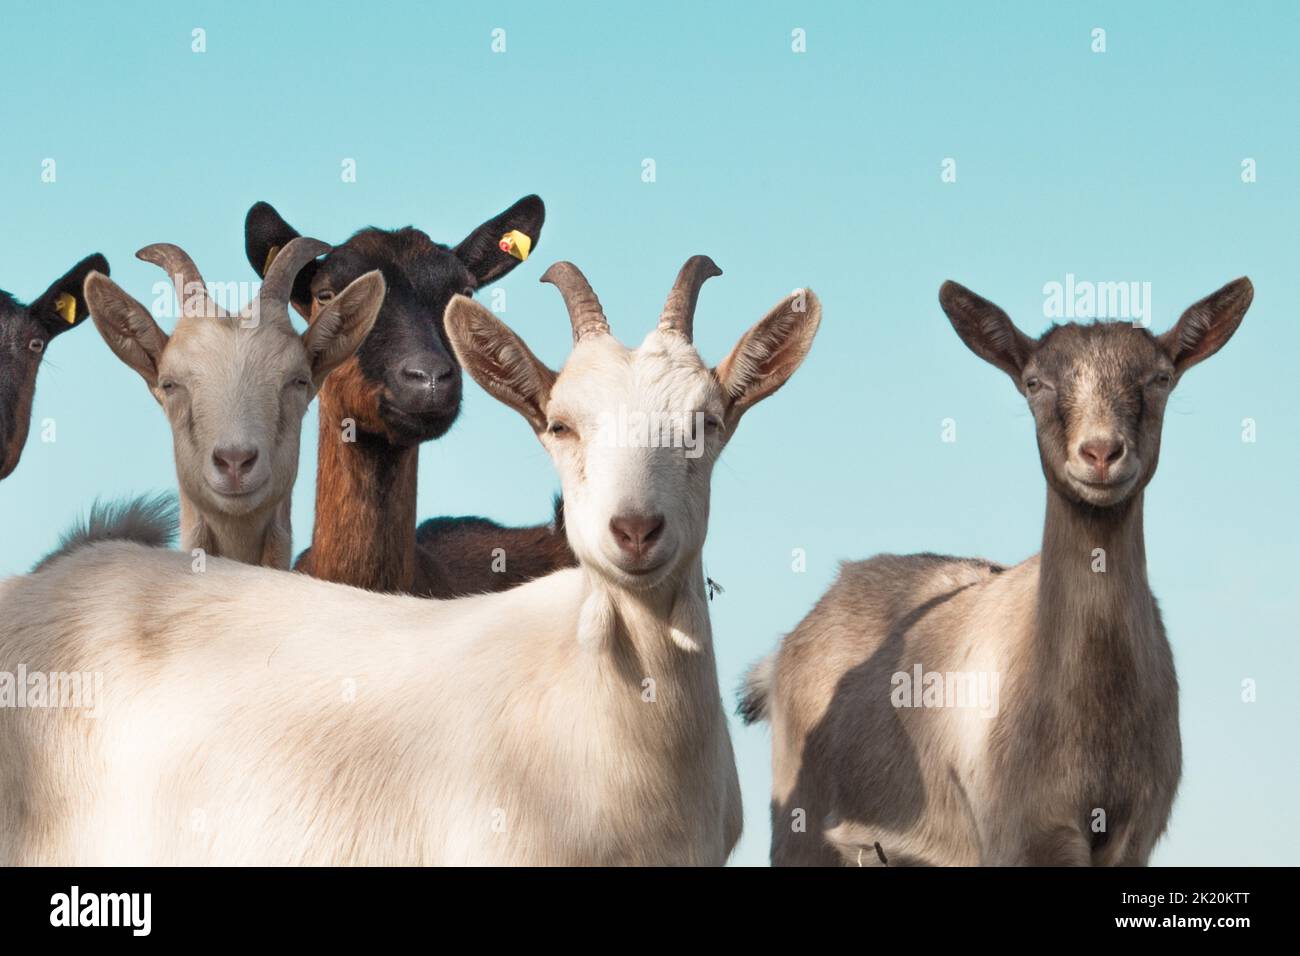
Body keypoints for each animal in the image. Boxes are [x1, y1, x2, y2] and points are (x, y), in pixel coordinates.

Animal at [743, 277, 1252, 867]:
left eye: (1161, 377)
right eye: (1035, 382)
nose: (1101, 453)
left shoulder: (1133, 837)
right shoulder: (1020, 831)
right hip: (799, 821)